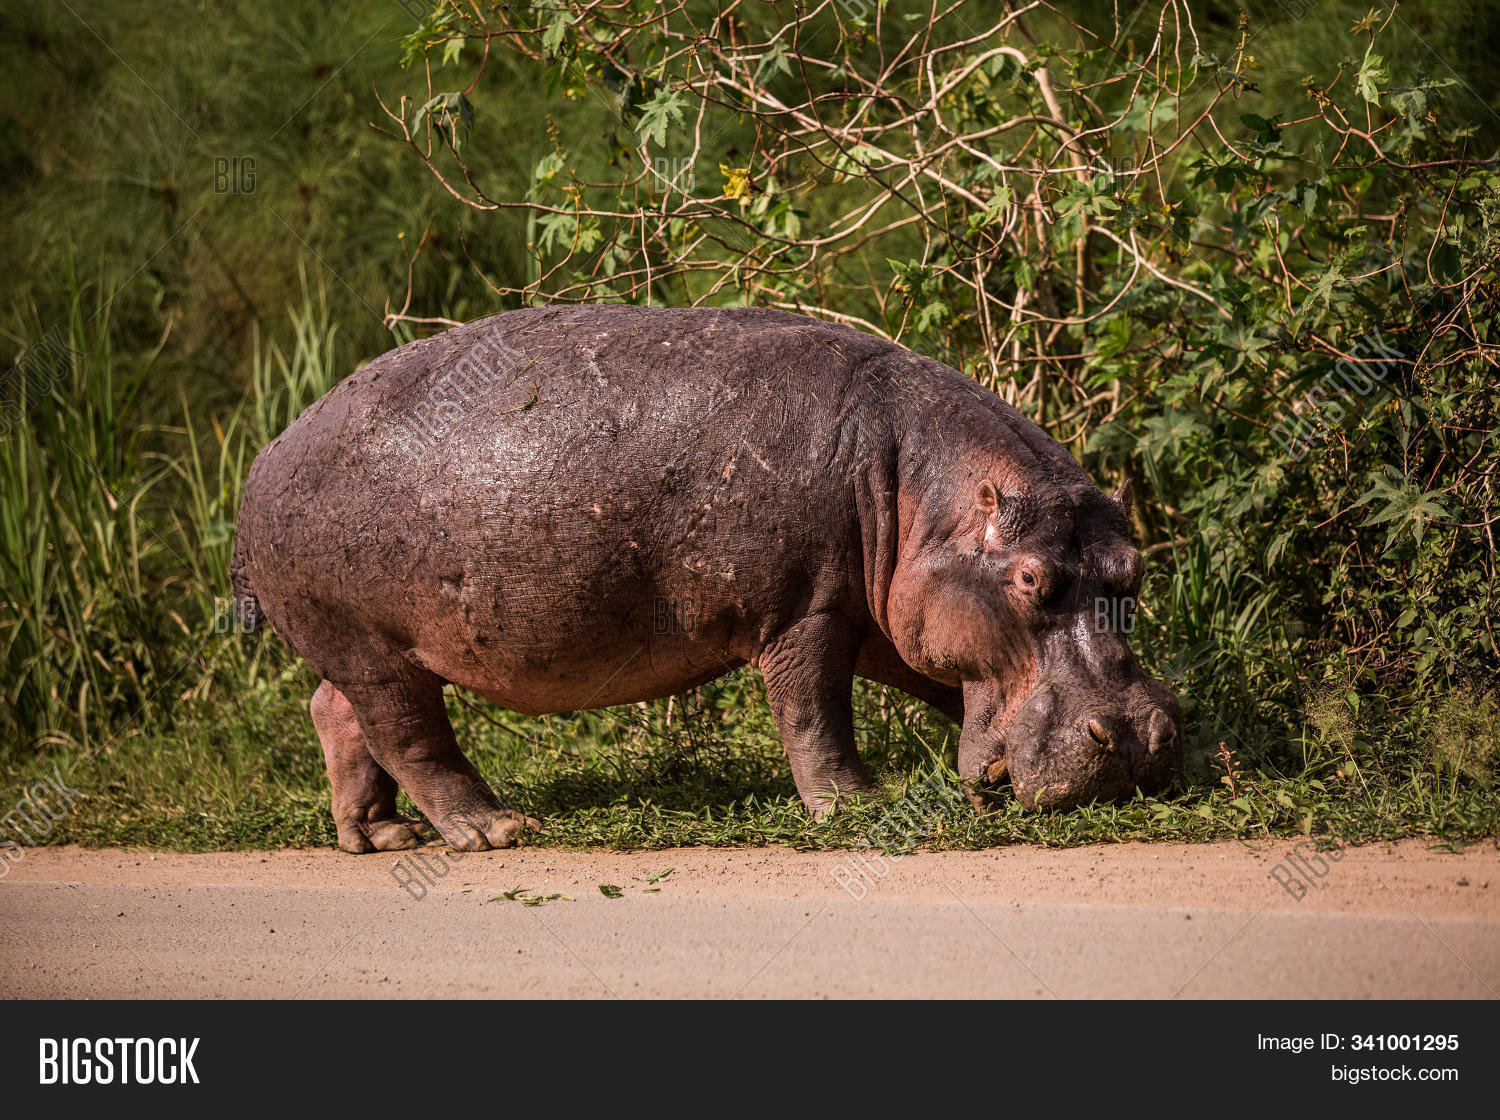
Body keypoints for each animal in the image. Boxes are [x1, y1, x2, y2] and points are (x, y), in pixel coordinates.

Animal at [232, 306, 1181, 853]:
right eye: (1030, 579)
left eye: (1134, 571)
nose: (1141, 736)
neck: (922, 492)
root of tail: (265, 456)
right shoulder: (808, 609)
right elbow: (813, 710)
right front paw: (854, 809)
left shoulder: (891, 618)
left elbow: (949, 688)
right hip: (375, 645)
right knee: (410, 734)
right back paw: (493, 830)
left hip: (357, 649)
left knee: (336, 711)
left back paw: (377, 837)